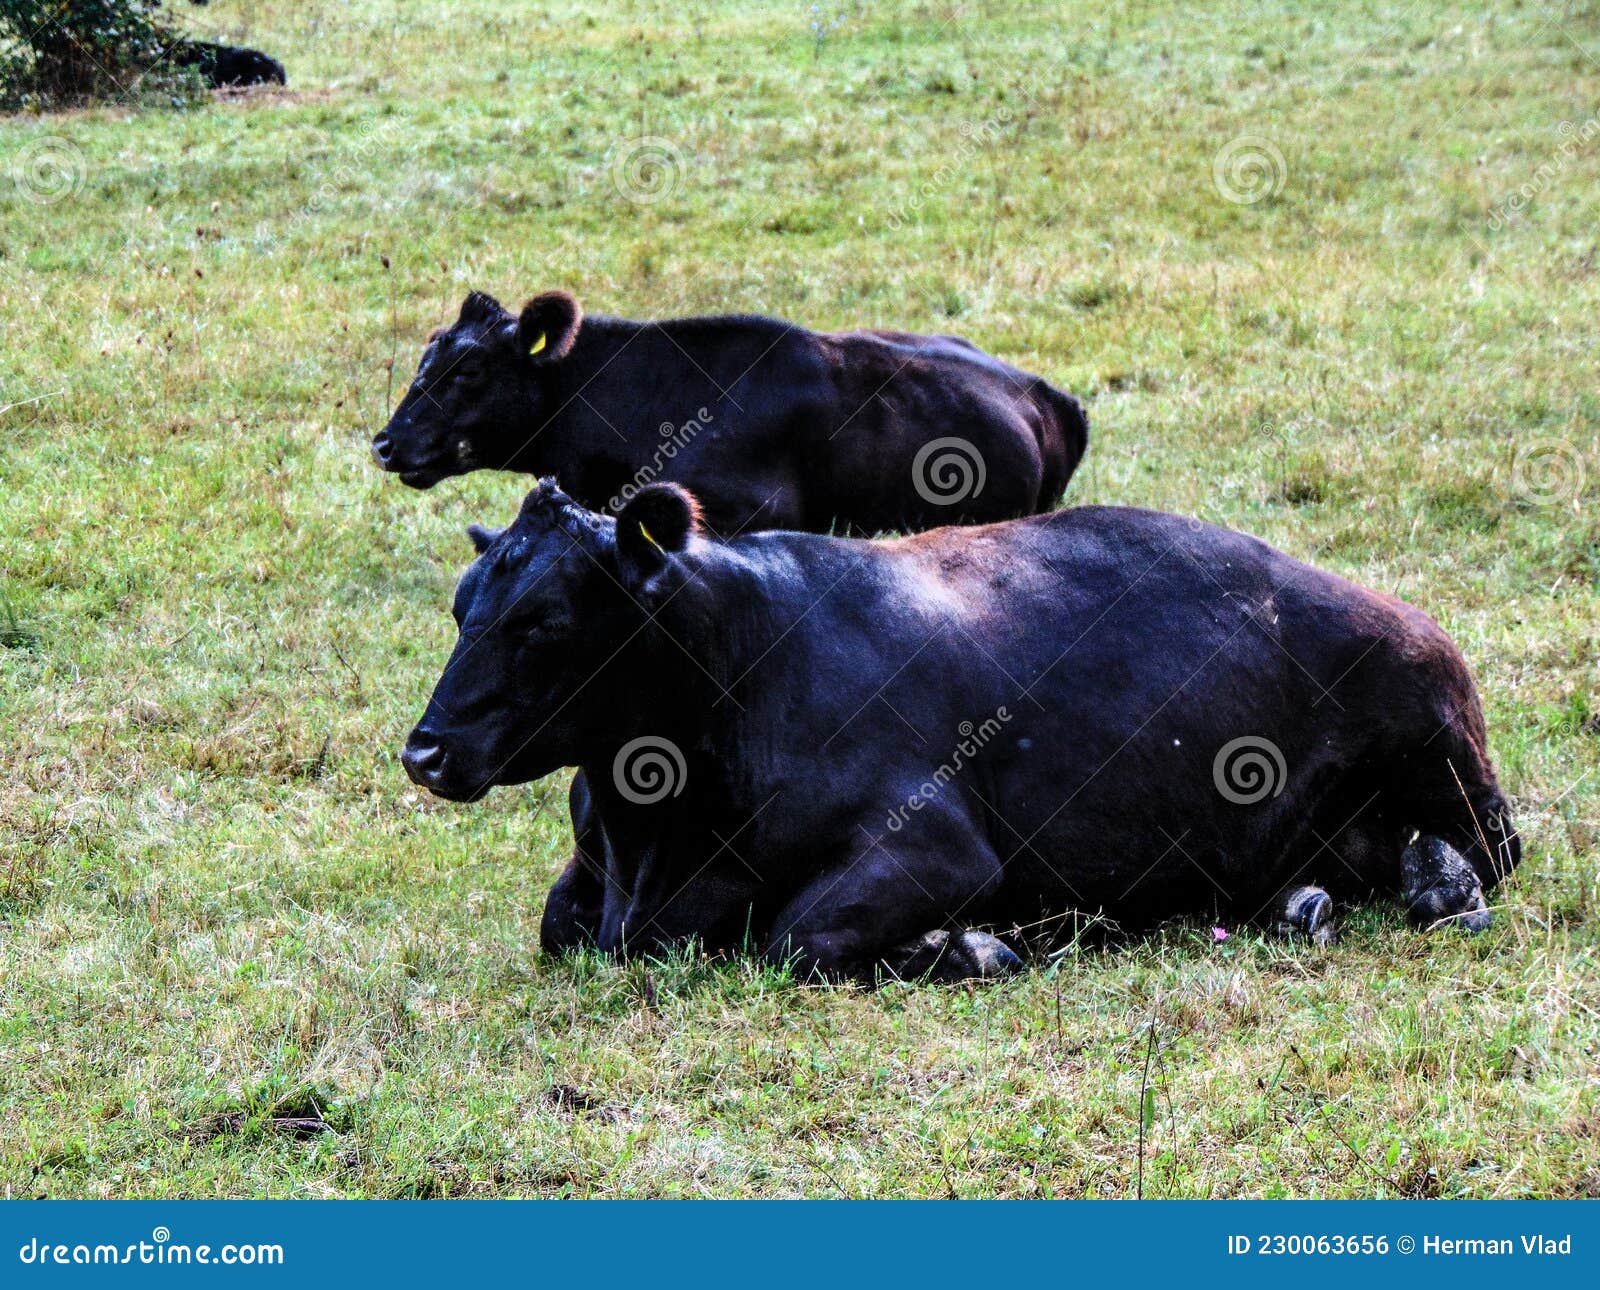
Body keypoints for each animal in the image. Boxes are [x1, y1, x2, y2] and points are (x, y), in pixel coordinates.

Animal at [399, 480, 1520, 982]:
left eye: (544, 620)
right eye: (460, 607)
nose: (425, 751)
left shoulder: (938, 845)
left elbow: (795, 937)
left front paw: (969, 945)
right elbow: (557, 926)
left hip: (1438, 741)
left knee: (1490, 853)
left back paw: (1438, 883)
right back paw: (1302, 901)